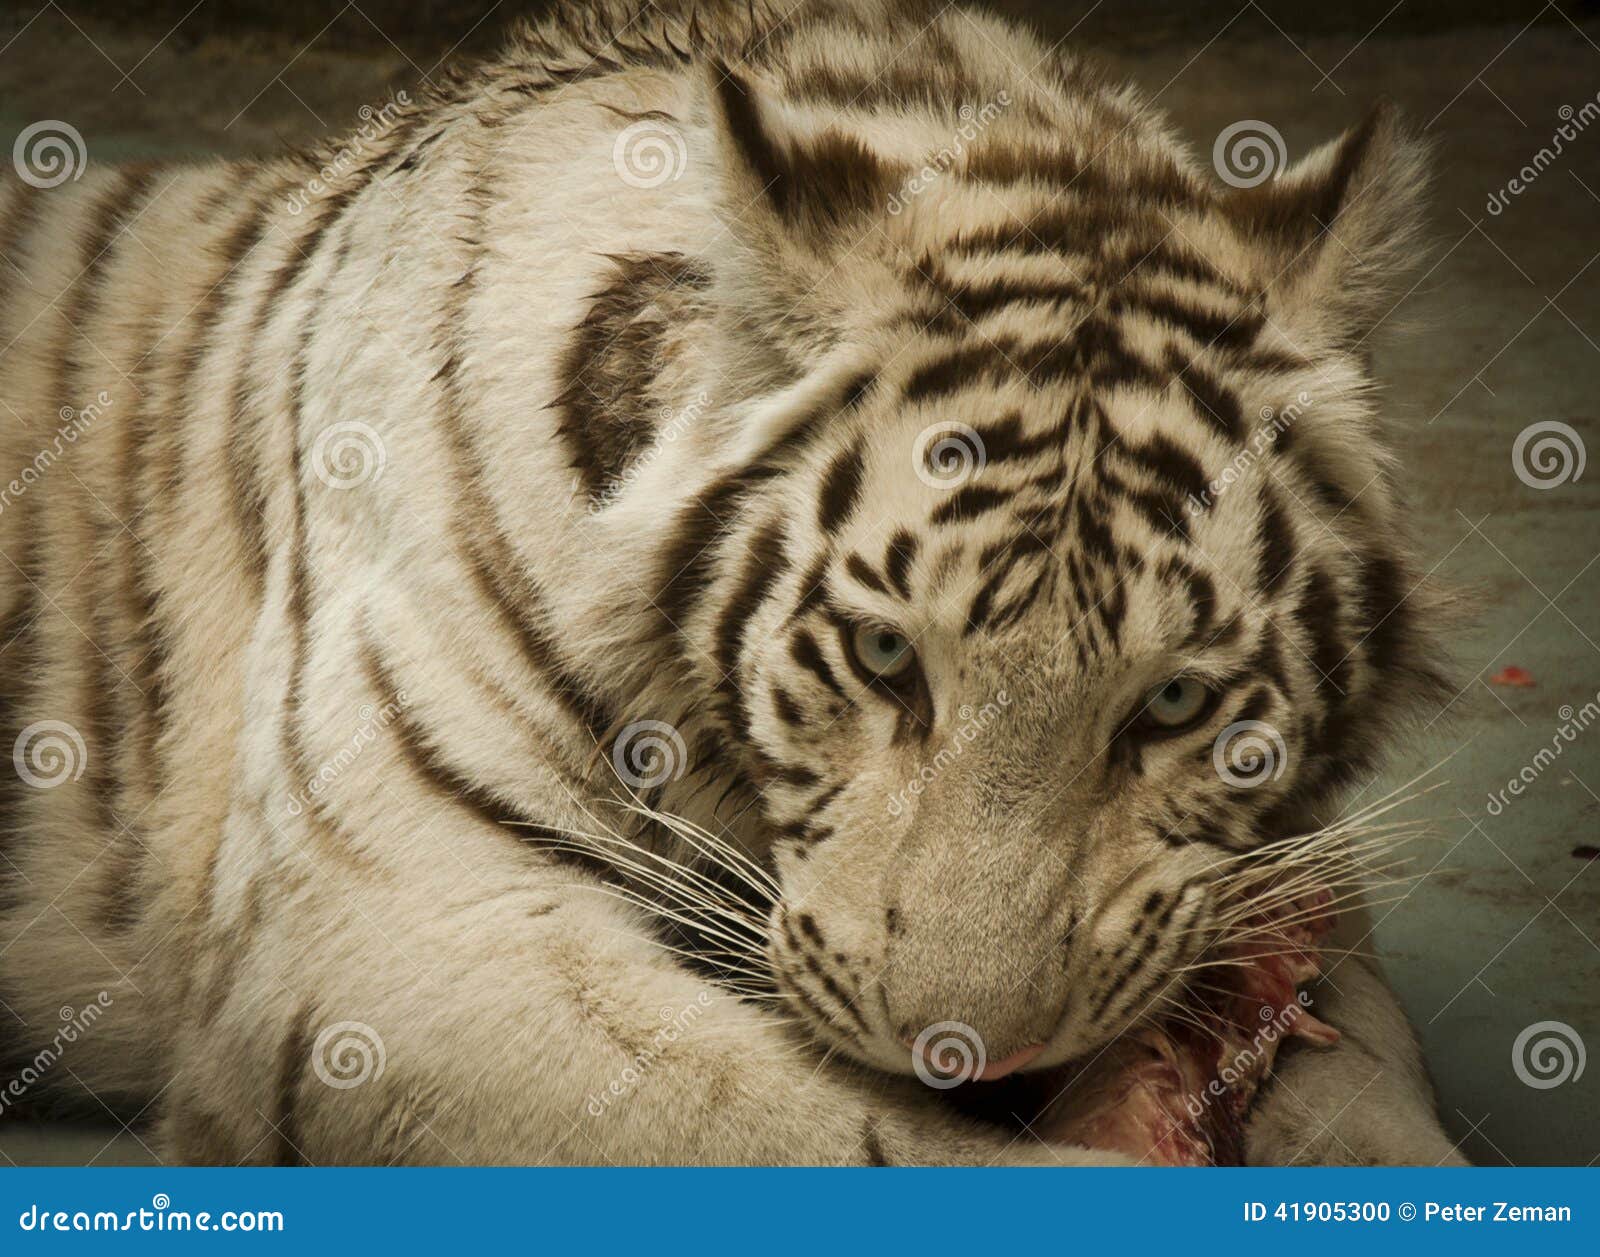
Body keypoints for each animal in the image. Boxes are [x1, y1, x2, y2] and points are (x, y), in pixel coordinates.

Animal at [0, 0, 1468, 1166]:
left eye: (1172, 704)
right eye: (883, 657)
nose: (976, 1057)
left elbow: (1368, 1078)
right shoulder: (388, 931)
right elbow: (836, 1141)